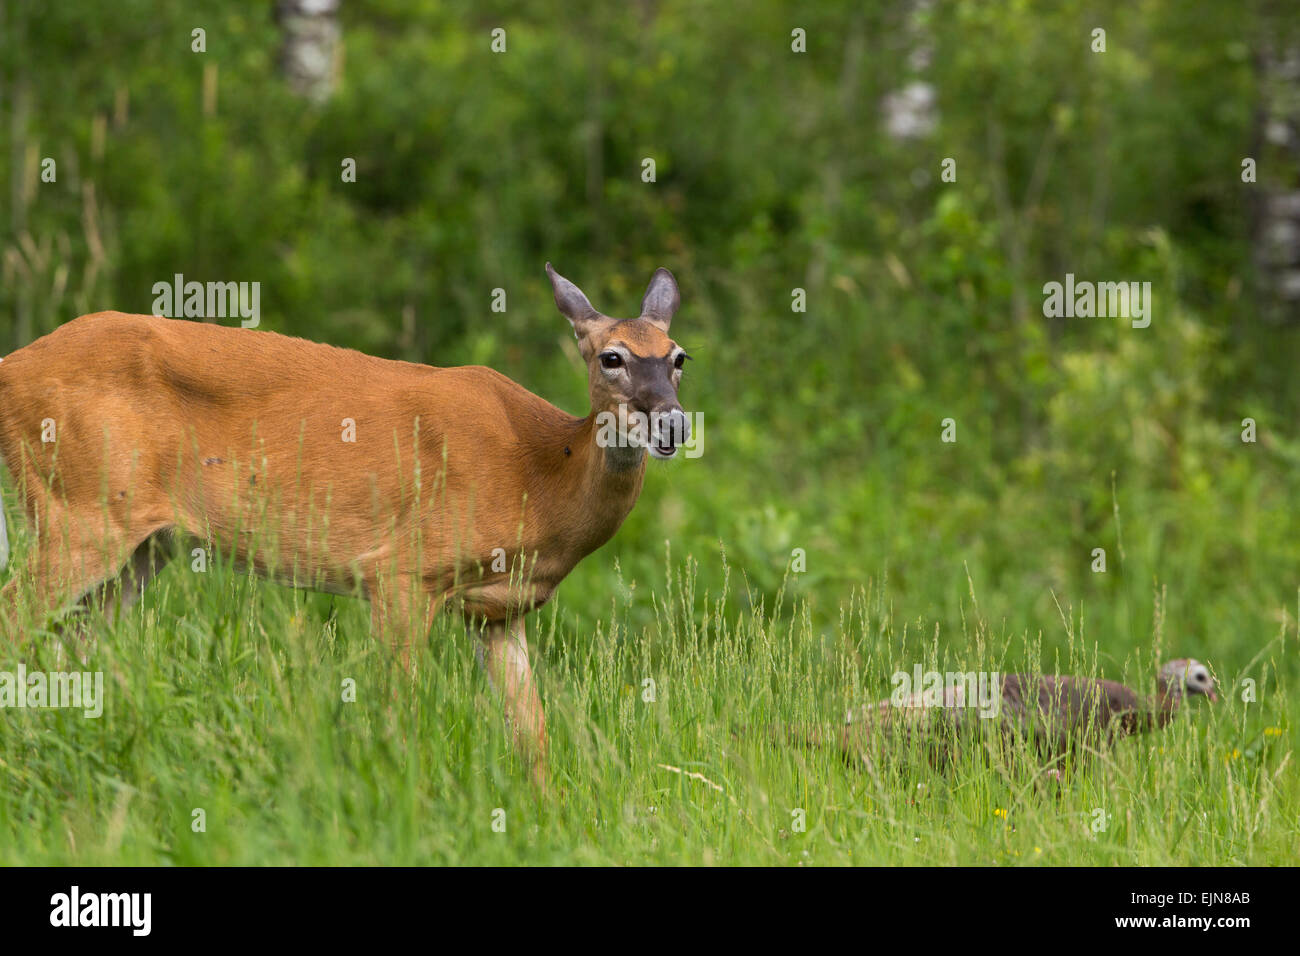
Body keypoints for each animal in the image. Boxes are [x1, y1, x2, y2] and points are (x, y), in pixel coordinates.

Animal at [0, 263, 692, 789]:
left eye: (679, 357)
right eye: (611, 357)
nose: (673, 422)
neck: (541, 470)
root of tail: (10, 367)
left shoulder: (500, 610)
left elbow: (532, 733)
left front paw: (545, 813)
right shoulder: (403, 573)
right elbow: (398, 714)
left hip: (143, 545)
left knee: (74, 647)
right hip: (76, 512)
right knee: (17, 618)